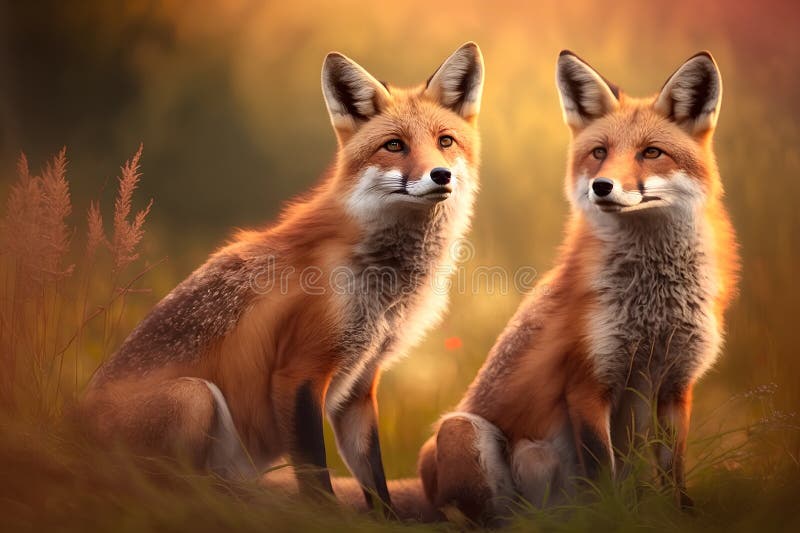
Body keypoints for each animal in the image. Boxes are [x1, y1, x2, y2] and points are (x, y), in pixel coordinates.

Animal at [80, 42, 485, 510]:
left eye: (445, 141)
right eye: (394, 145)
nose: (441, 175)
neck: (384, 285)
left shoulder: (360, 386)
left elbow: (375, 482)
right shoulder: (298, 372)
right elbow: (314, 475)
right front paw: (325, 516)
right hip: (194, 396)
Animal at [418, 50, 739, 522]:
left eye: (652, 153)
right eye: (599, 153)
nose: (601, 186)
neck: (654, 308)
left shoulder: (676, 385)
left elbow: (674, 470)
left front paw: (682, 516)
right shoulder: (588, 382)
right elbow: (602, 470)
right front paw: (613, 517)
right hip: (464, 431)